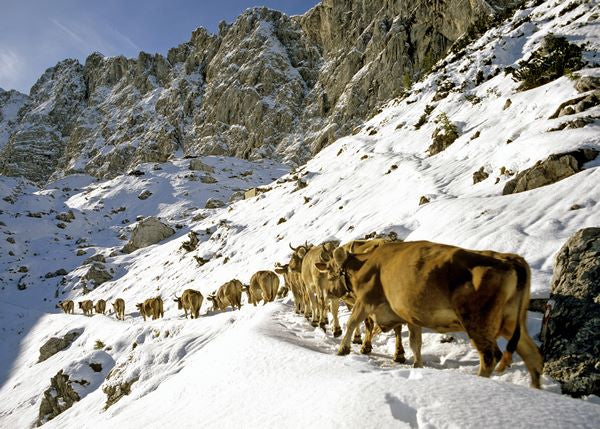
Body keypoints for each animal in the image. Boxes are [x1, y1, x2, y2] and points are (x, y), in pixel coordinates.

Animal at [316, 241, 548, 388]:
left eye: (331, 270)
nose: (330, 293)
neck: (366, 264)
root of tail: (510, 259)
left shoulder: (366, 299)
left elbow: (352, 322)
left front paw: (342, 349)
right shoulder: (411, 316)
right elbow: (415, 343)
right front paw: (417, 366)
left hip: (477, 321)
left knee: (490, 357)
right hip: (511, 322)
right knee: (533, 356)